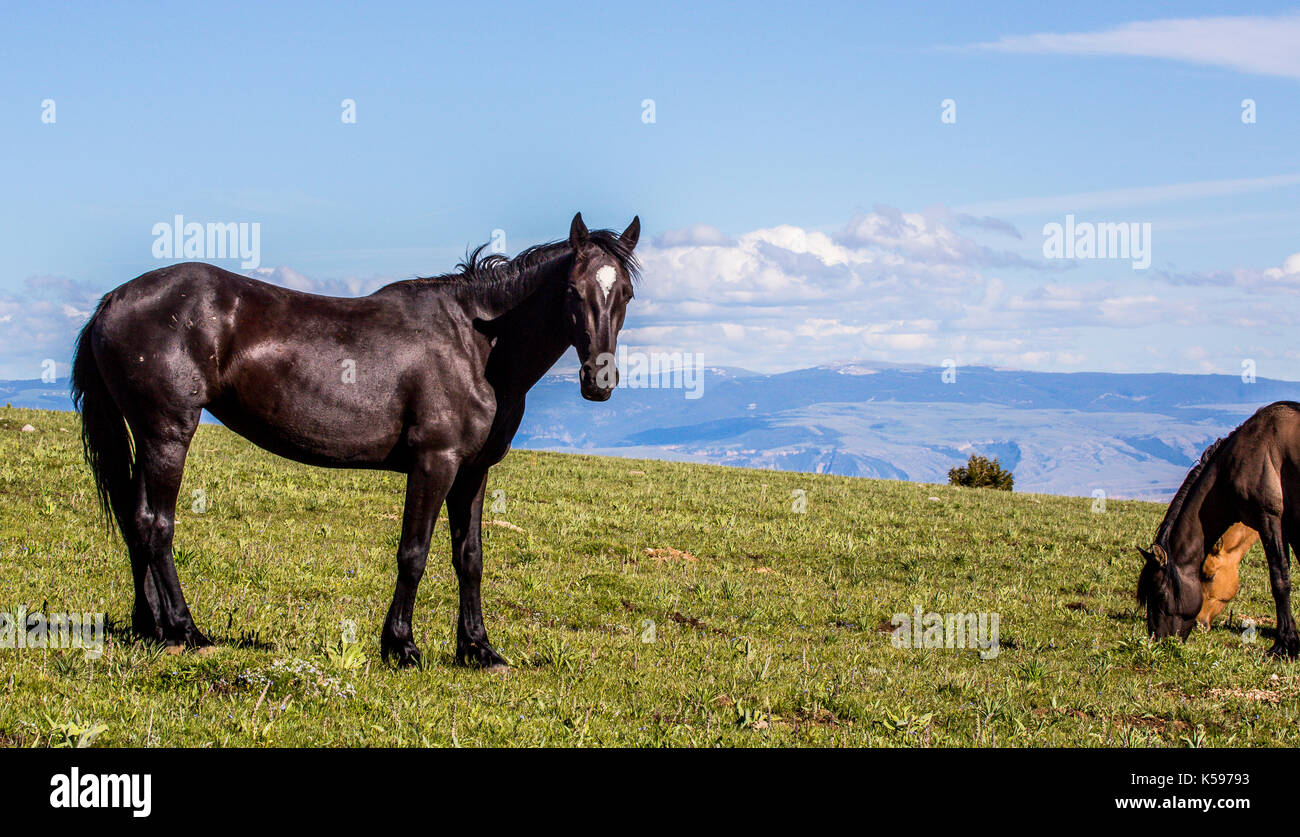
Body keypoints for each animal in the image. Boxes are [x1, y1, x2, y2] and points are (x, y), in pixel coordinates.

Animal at [71, 212, 641, 668]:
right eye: (573, 291)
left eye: (626, 295)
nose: (599, 381)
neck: (474, 346)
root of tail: (112, 302)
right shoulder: (434, 463)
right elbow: (414, 553)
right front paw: (402, 647)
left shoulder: (474, 471)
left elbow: (470, 557)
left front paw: (478, 650)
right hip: (167, 433)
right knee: (157, 525)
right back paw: (186, 630)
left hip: (149, 436)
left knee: (136, 521)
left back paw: (151, 627)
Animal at [1137, 401, 1300, 656]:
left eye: (1160, 594)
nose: (1158, 641)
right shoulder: (1290, 524)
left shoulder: (1269, 519)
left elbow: (1280, 579)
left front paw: (1284, 644)